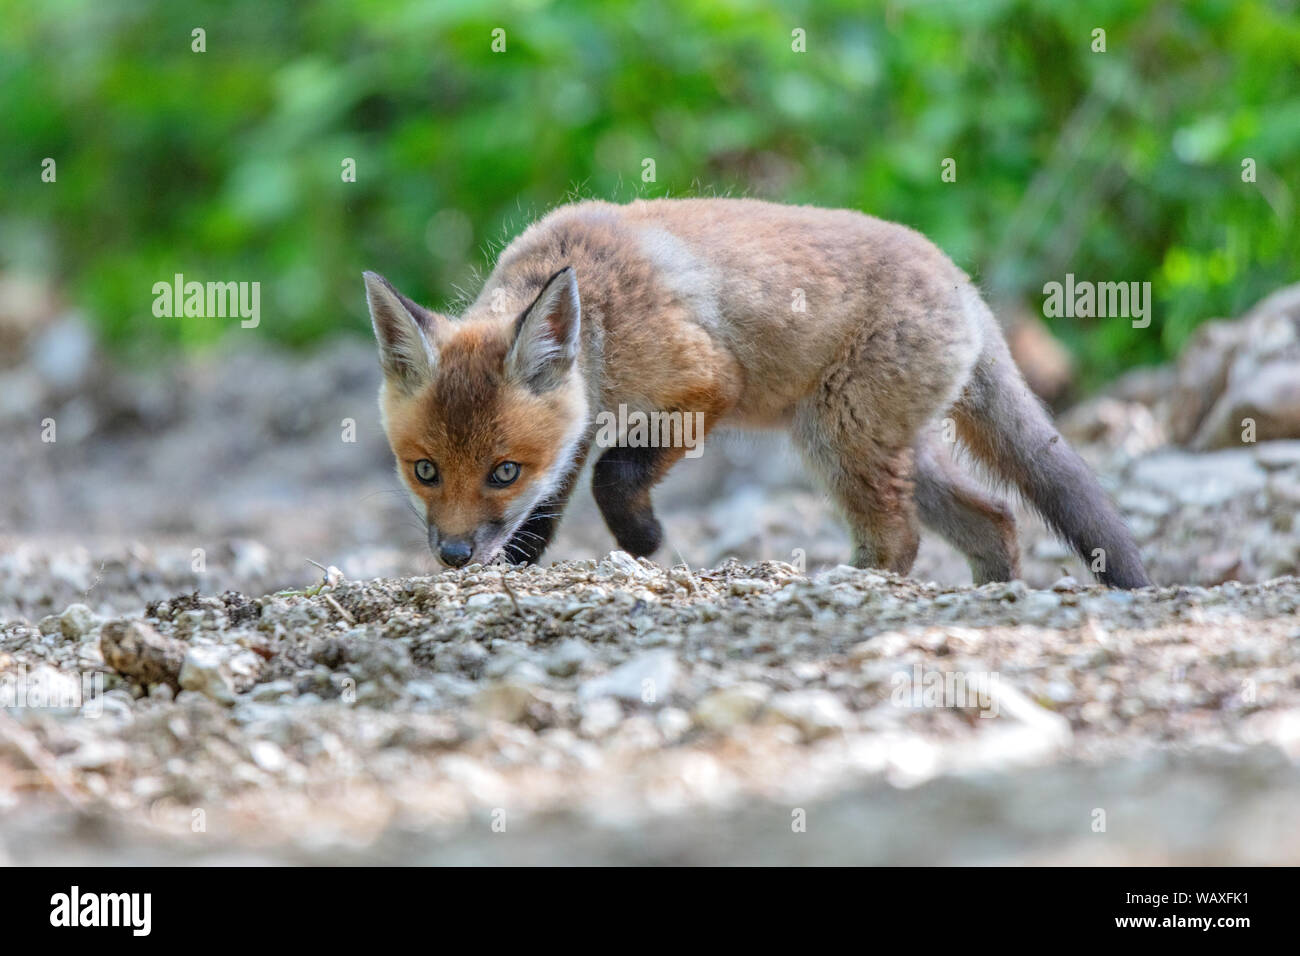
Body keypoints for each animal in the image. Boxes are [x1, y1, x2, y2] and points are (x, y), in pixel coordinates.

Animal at [364, 197, 1151, 588]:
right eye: (425, 471)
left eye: (502, 472)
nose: (453, 556)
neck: (603, 322)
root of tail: (963, 283)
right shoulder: (578, 424)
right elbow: (550, 505)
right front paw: (521, 566)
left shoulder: (706, 382)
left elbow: (614, 473)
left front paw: (642, 539)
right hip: (882, 446)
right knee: (995, 519)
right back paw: (993, 595)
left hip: (842, 439)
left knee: (900, 537)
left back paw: (843, 584)